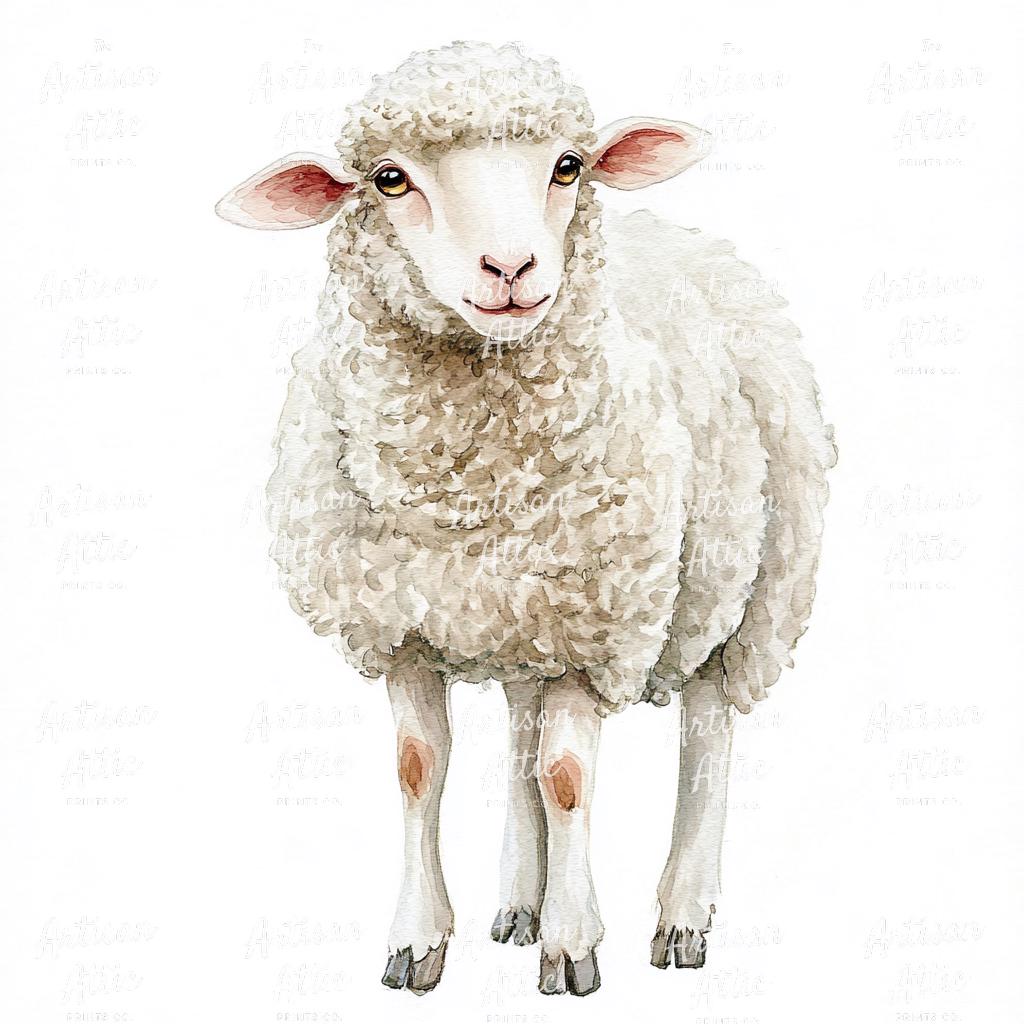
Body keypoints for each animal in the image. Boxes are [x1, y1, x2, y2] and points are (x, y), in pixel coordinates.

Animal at [215, 40, 836, 997]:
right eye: (389, 178)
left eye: (568, 166)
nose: (512, 270)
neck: (469, 492)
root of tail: (686, 235)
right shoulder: (402, 623)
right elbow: (420, 771)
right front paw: (419, 941)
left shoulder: (599, 626)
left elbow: (568, 776)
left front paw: (573, 945)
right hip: (523, 621)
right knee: (517, 730)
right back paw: (517, 902)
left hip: (751, 588)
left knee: (706, 730)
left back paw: (681, 915)